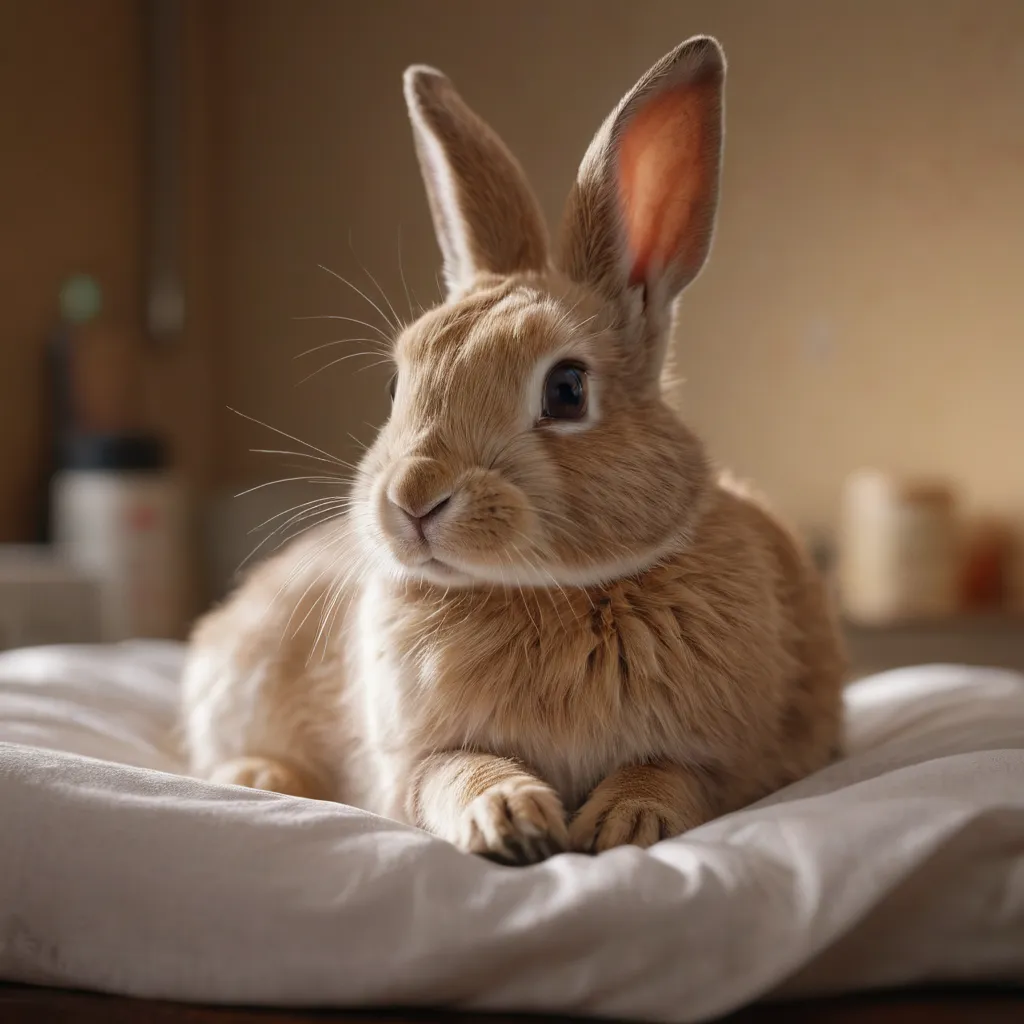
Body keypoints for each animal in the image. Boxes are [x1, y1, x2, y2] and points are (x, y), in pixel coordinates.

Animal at [182, 35, 846, 864]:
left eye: (567, 390)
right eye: (398, 383)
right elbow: (454, 770)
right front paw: (508, 816)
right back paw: (262, 776)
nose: (412, 499)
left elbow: (671, 773)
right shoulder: (410, 762)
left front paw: (627, 821)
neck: (550, 591)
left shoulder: (729, 761)